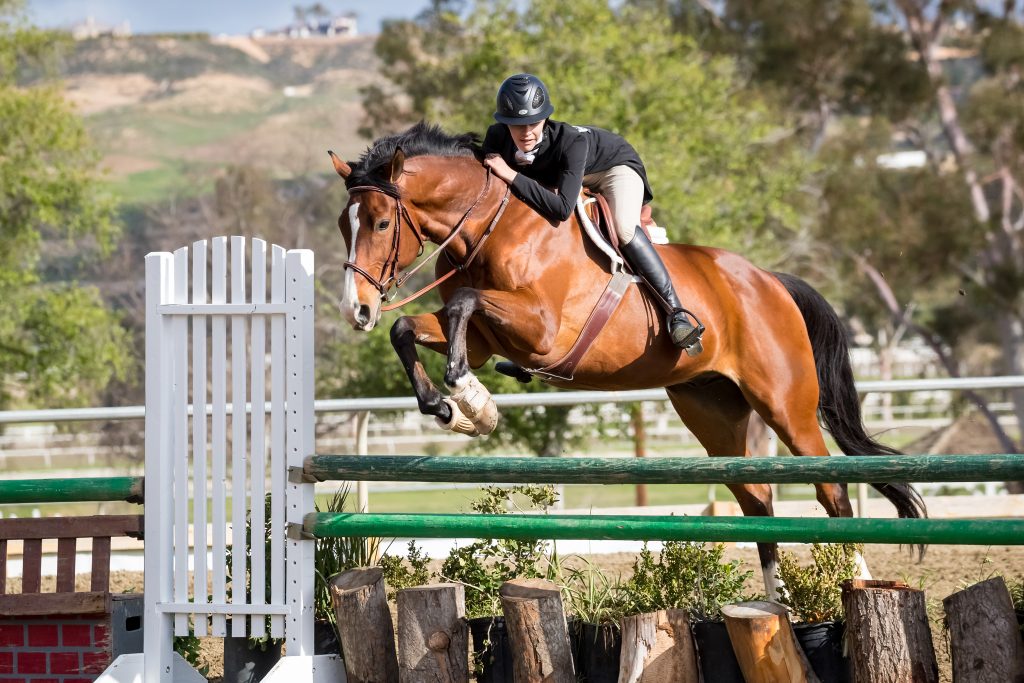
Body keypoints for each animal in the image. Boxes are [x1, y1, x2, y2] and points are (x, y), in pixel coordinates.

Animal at [328, 122, 925, 597]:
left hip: (786, 404)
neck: (491, 227)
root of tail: (769, 280)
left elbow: (463, 305)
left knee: (832, 489)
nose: (357, 310)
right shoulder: (485, 339)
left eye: (381, 224)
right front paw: (453, 408)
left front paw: (468, 398)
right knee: (757, 500)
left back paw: (854, 579)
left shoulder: (541, 331)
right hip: (712, 408)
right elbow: (412, 327)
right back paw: (776, 604)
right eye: (343, 225)